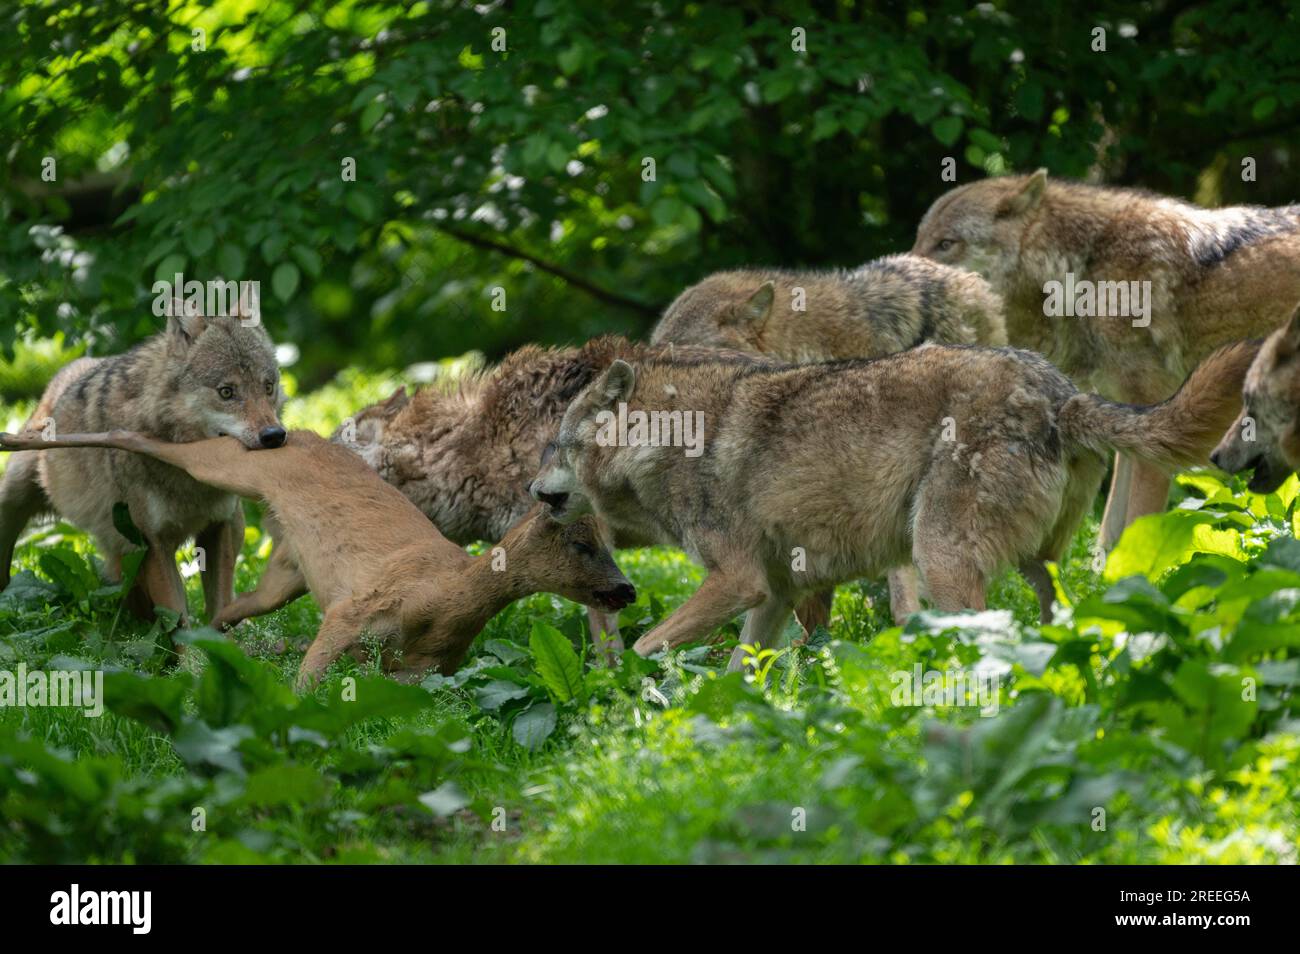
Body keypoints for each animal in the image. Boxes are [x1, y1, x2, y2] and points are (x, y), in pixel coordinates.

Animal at [0, 304, 284, 622]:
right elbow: (177, 616)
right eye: (226, 392)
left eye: (268, 387)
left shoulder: (218, 526)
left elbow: (219, 608)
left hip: (233, 526)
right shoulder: (151, 543)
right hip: (13, 500)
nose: (274, 435)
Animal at [529, 340, 1257, 671]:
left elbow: (645, 642)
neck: (666, 441)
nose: (535, 497)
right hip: (1038, 568)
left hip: (941, 561)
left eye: (556, 445)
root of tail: (1058, 390)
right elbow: (744, 667)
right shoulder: (771, 593)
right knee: (1060, 623)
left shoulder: (736, 581)